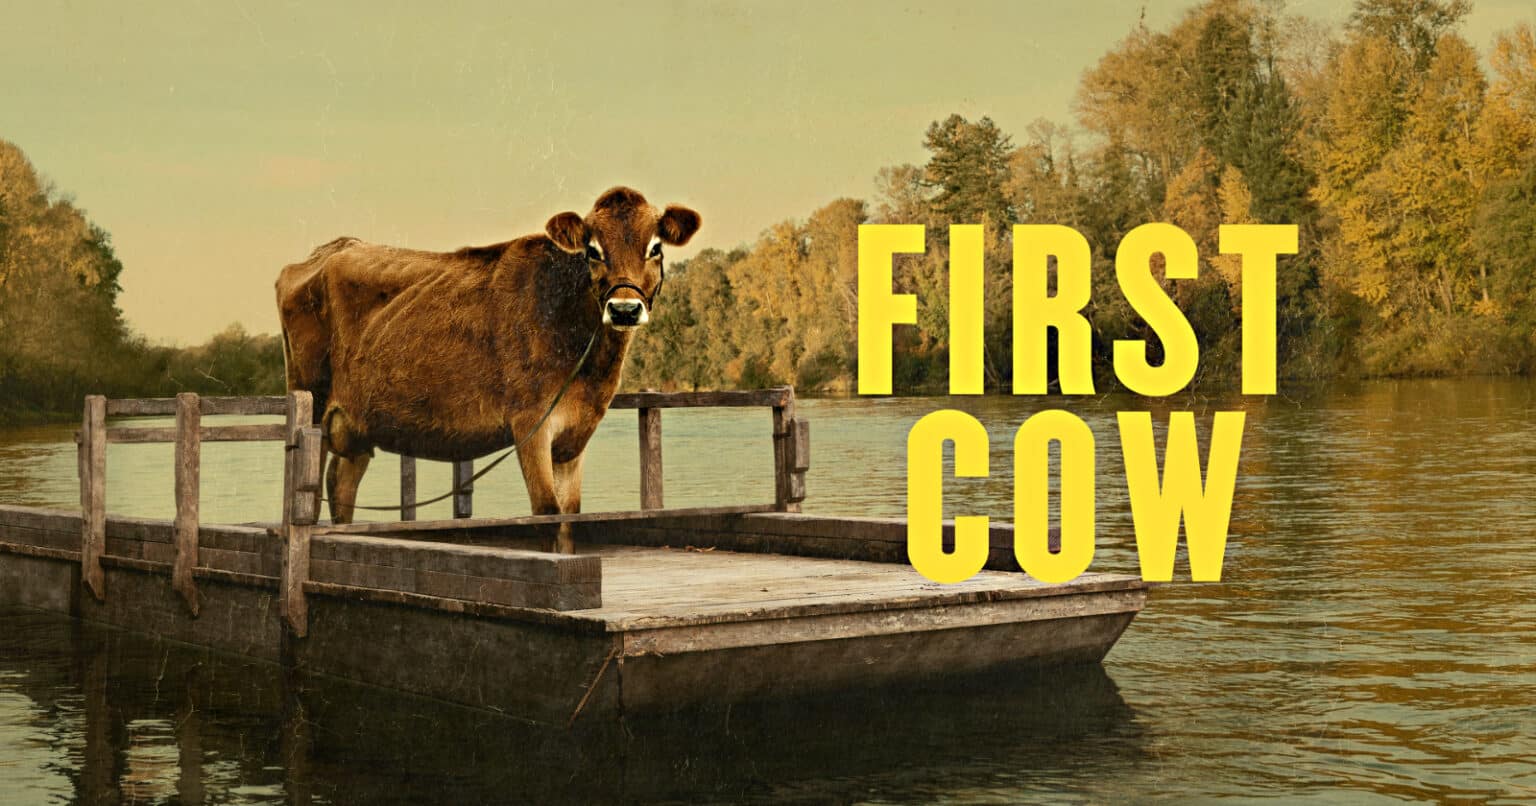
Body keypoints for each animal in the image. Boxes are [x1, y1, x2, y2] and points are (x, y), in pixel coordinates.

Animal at [275, 187, 700, 552]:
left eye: (655, 248)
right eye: (593, 251)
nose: (624, 309)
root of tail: (331, 249)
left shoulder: (574, 435)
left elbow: (570, 517)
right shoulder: (531, 423)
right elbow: (547, 513)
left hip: (357, 424)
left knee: (341, 485)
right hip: (312, 404)